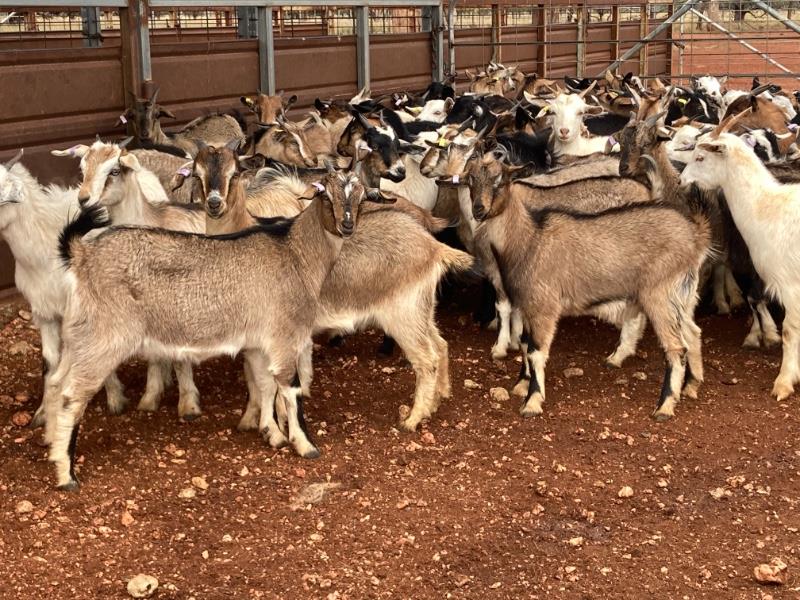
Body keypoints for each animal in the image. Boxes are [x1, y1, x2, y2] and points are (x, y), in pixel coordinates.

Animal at [43, 163, 378, 490]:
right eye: (326, 197)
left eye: (360, 199)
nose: (347, 226)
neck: (296, 253)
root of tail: (82, 256)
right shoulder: (284, 335)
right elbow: (289, 388)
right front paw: (304, 444)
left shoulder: (258, 342)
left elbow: (264, 385)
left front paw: (271, 433)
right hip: (104, 340)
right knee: (72, 397)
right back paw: (66, 475)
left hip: (77, 336)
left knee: (56, 382)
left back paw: (50, 443)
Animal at [680, 110, 800, 401]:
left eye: (700, 157)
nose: (681, 181)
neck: (768, 208)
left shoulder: (790, 283)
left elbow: (790, 331)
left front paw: (784, 381)